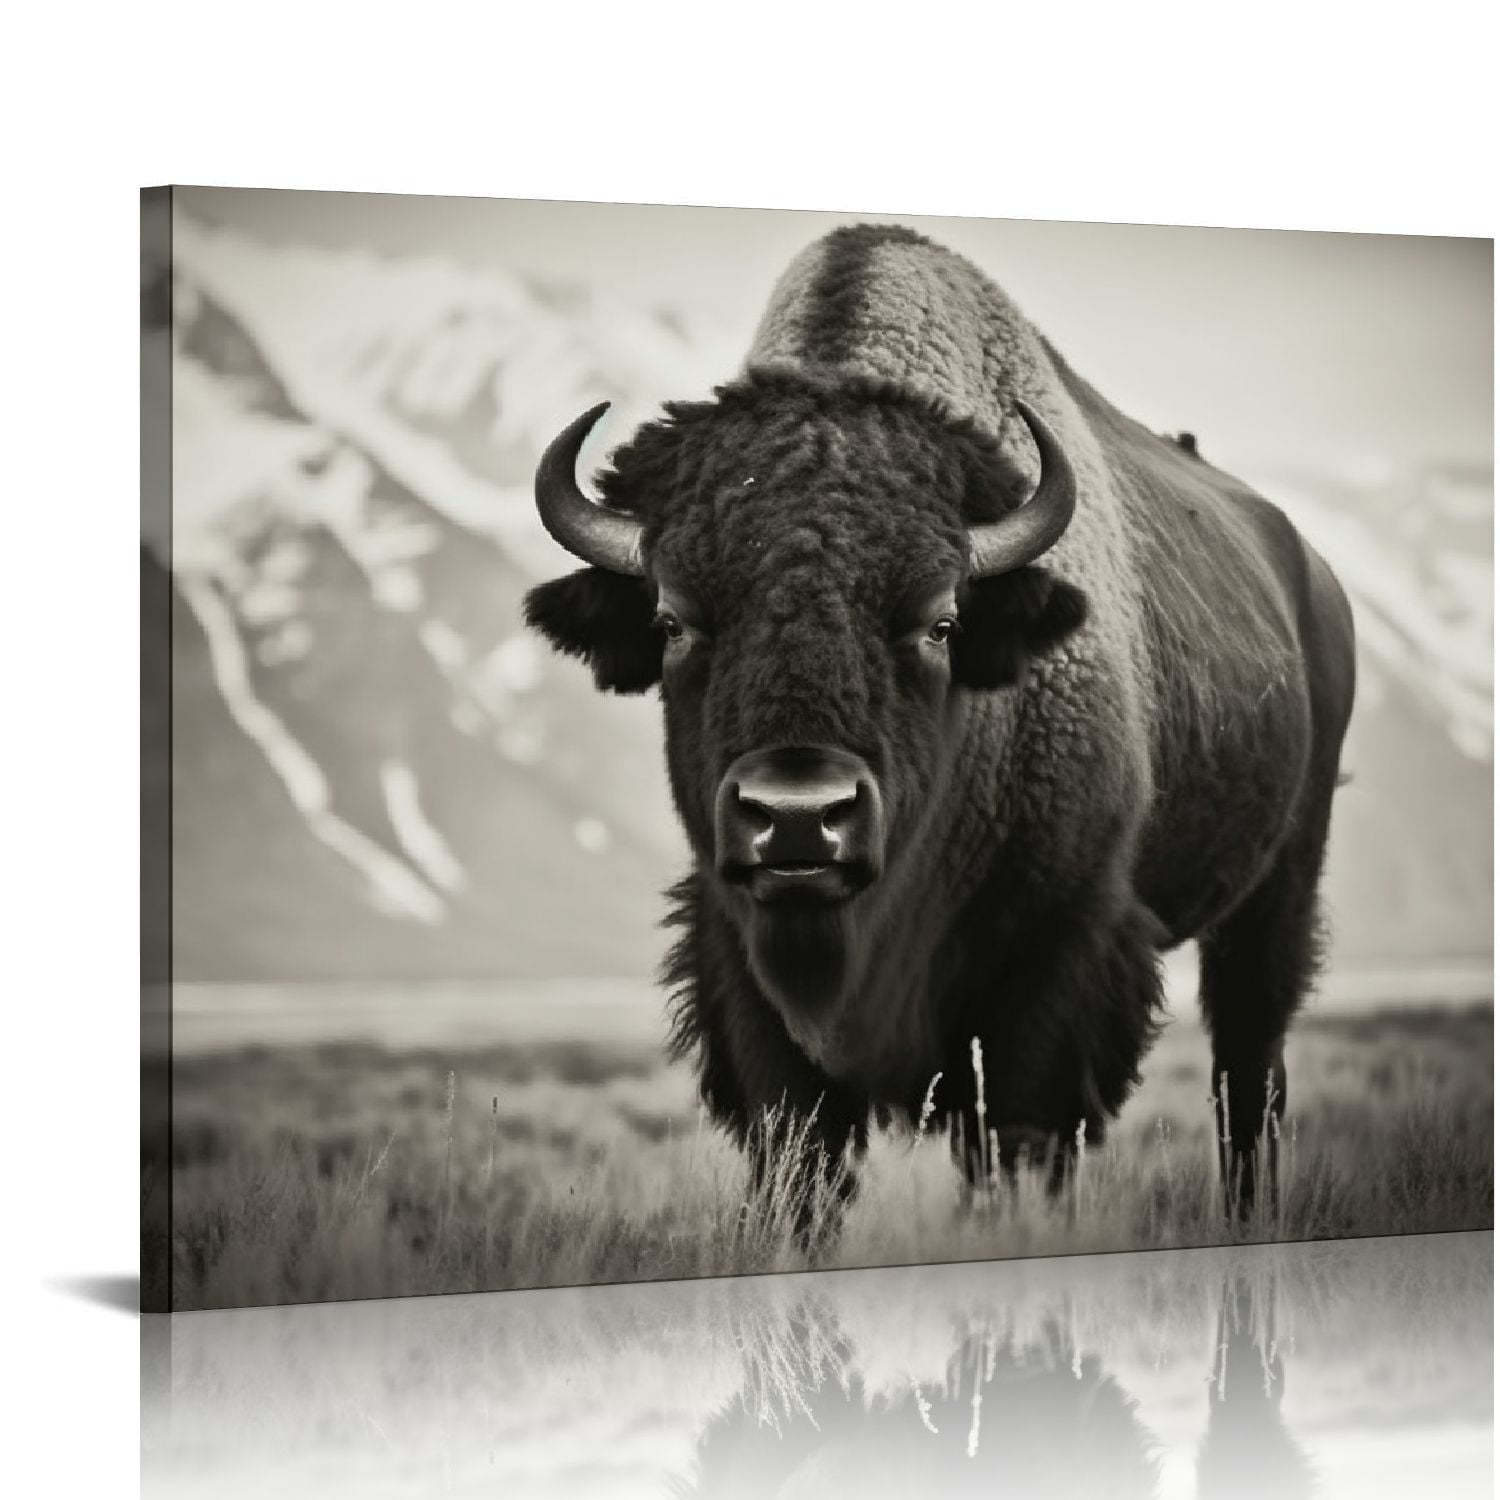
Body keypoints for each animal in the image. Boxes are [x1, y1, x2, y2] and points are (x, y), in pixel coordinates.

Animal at [525, 223, 1356, 1225]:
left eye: (941, 621)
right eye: (672, 619)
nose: (798, 818)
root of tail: (1310, 578)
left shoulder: (1056, 953)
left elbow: (1021, 1141)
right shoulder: (741, 973)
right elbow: (800, 1160)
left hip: (1275, 894)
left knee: (1248, 1072)